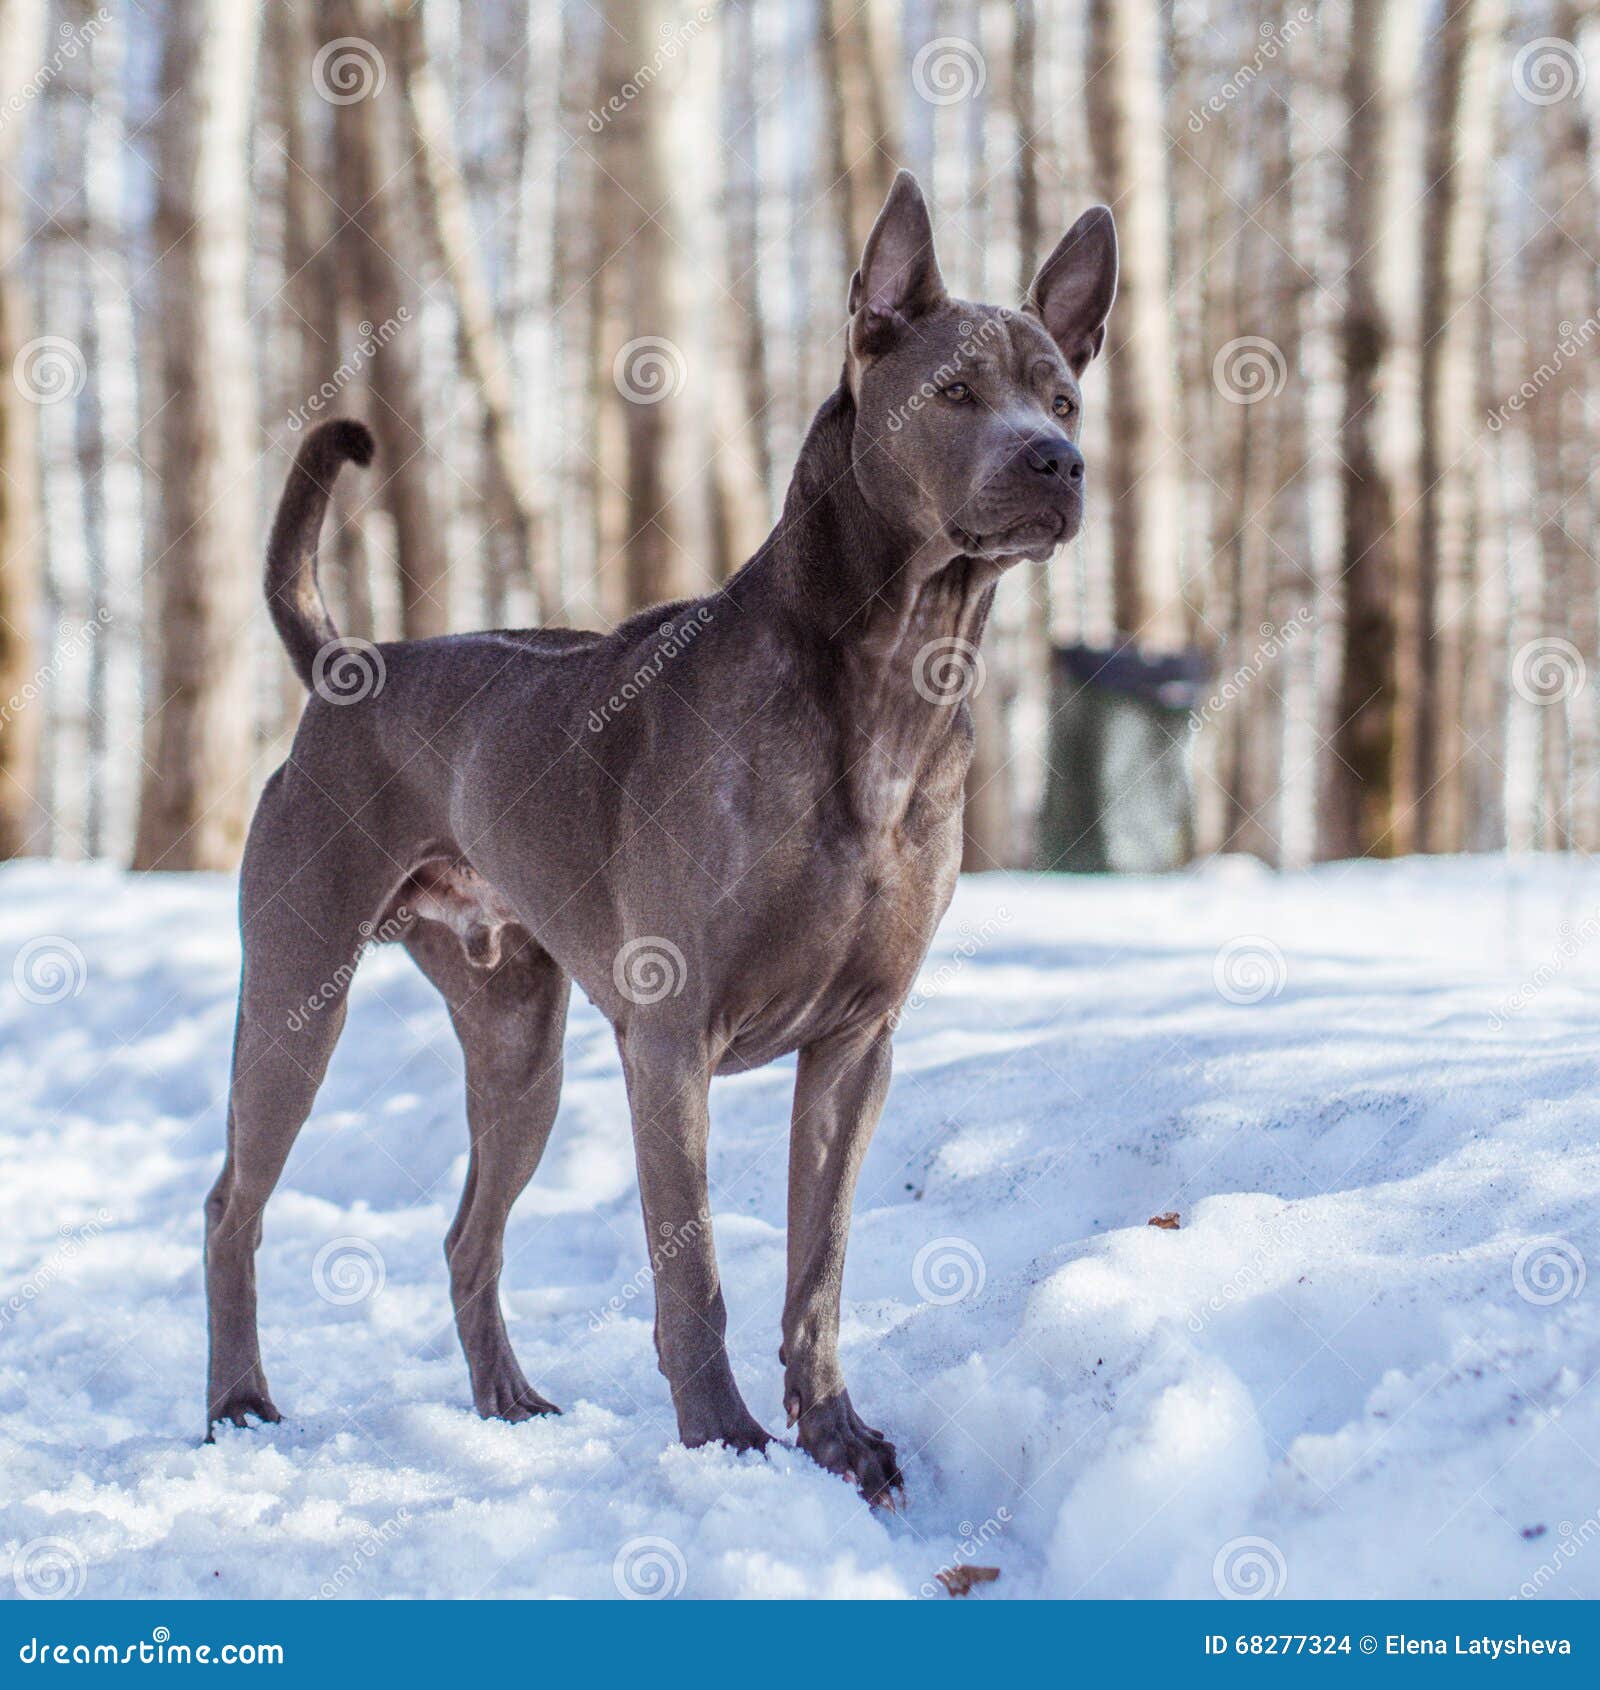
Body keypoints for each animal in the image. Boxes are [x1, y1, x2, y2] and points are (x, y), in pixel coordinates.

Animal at [209, 171, 1115, 1507]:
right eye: (955, 392)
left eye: (1061, 397)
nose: (1058, 460)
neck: (896, 674)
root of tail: (342, 666)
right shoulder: (671, 1037)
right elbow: (694, 1271)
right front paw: (723, 1437)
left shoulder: (856, 1046)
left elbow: (818, 1266)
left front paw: (835, 1435)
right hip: (295, 994)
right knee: (234, 1203)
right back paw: (237, 1403)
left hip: (518, 1046)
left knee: (467, 1233)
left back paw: (506, 1403)